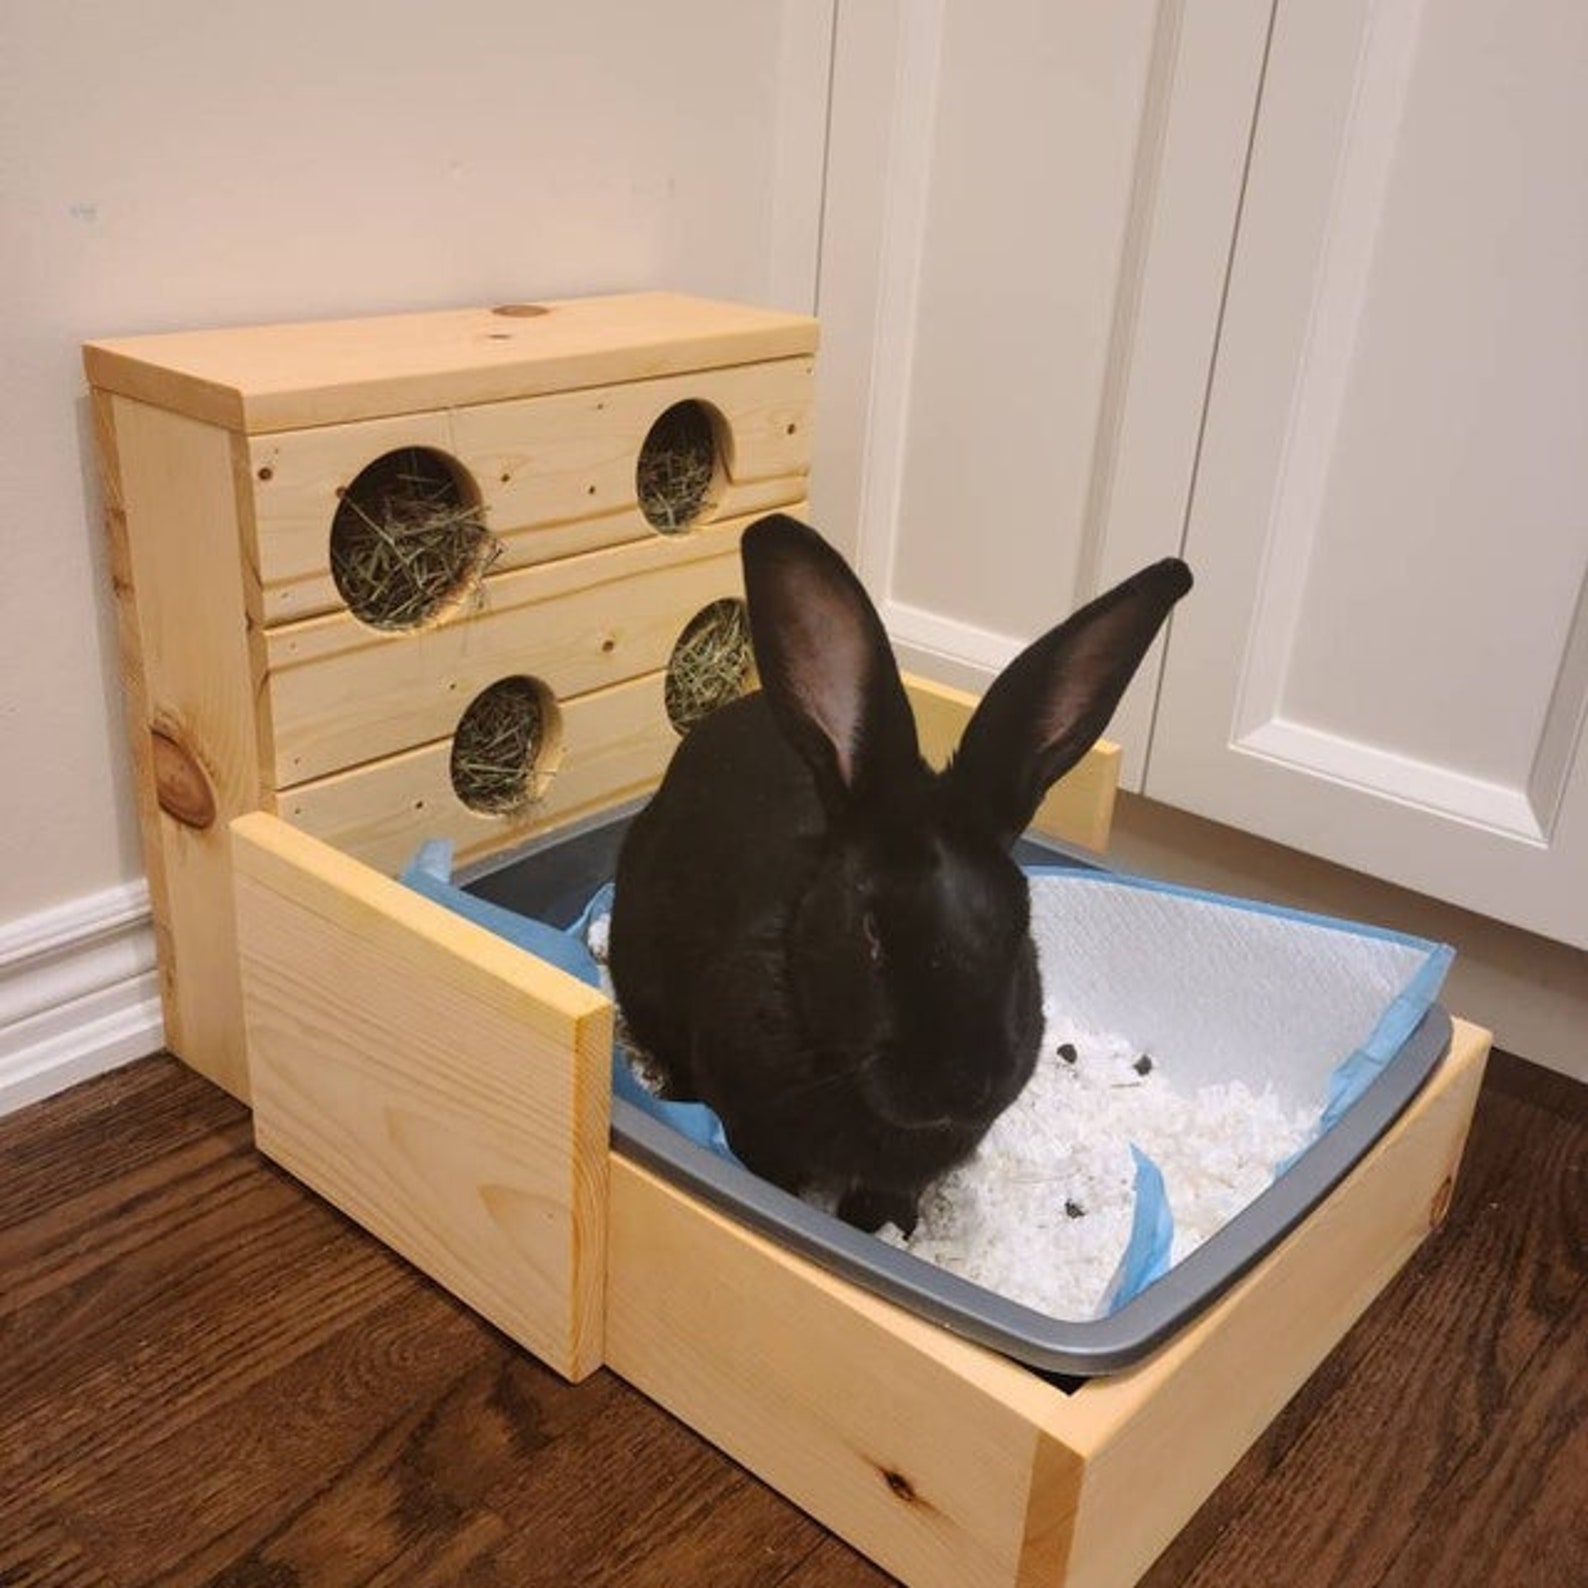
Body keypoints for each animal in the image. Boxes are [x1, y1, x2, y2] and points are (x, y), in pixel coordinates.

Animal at [608, 514, 1191, 1235]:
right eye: (872, 934)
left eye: (1021, 928)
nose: (962, 1085)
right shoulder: (753, 1126)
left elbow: (890, 1193)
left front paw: (886, 1228)